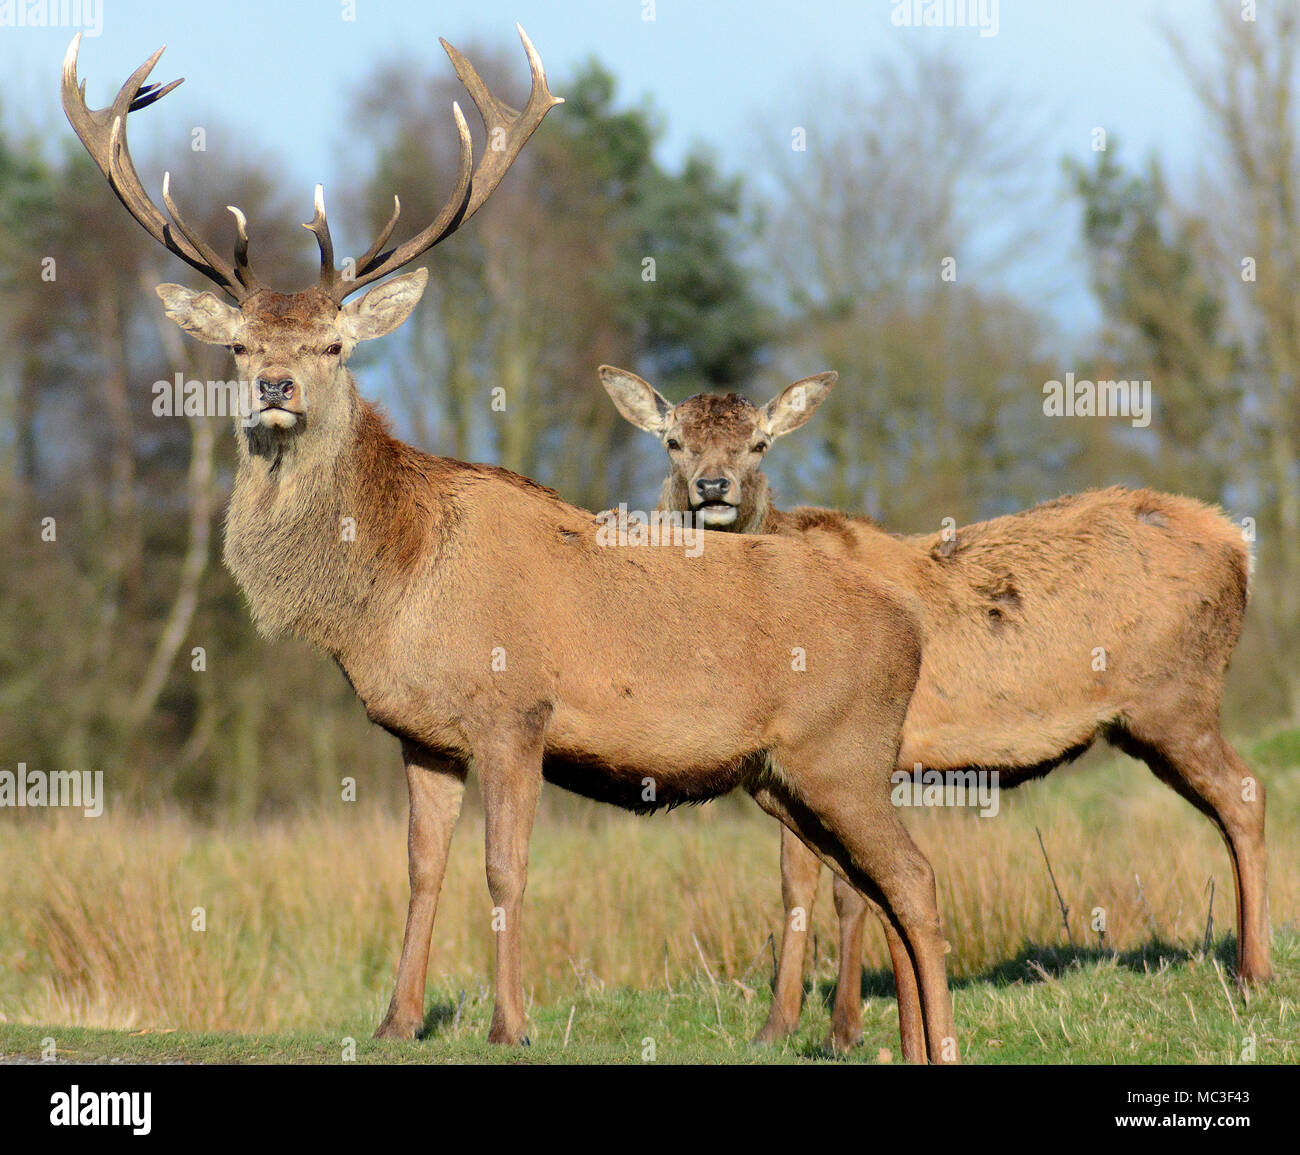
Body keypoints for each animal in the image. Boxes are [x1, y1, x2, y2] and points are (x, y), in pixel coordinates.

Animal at [63, 32, 961, 1061]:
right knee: (881, 889)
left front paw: (511, 1021)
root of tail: (911, 627)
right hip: (788, 774)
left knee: (916, 881)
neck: (396, 588)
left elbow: (505, 870)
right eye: (242, 345)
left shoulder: (515, 711)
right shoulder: (420, 732)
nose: (276, 387)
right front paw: (397, 1018)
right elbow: (421, 870)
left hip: (845, 751)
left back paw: (944, 1044)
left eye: (336, 345)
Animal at [600, 364, 1269, 1055]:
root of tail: (1238, 544)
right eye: (673, 442)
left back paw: (1254, 973)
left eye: (760, 443)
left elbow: (838, 889)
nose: (712, 487)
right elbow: (805, 881)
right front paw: (791, 1025)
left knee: (1243, 793)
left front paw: (831, 1026)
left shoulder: (837, 744)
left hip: (1176, 696)